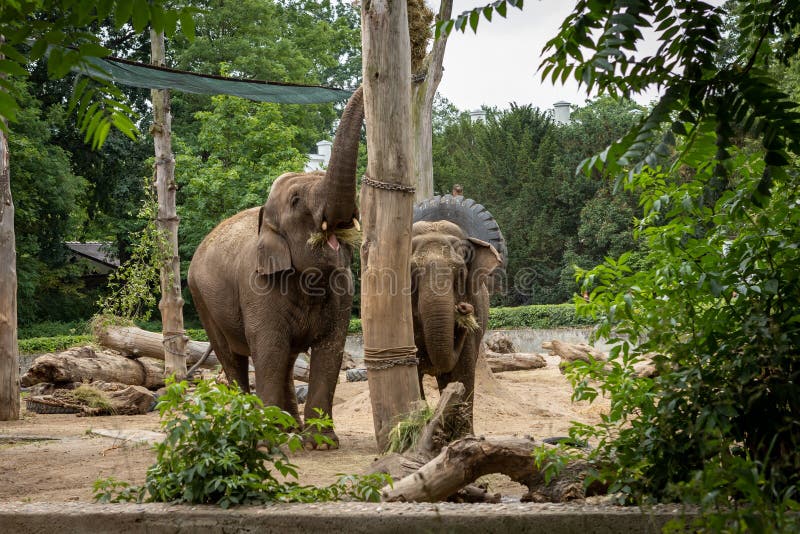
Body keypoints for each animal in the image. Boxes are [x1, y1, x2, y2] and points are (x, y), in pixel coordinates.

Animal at [187, 86, 364, 449]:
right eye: (296, 201)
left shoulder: (342, 289)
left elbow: (330, 350)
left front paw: (322, 443)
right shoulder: (258, 288)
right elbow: (269, 349)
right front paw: (265, 441)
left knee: (287, 361)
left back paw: (289, 428)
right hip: (202, 300)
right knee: (234, 361)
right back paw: (258, 427)